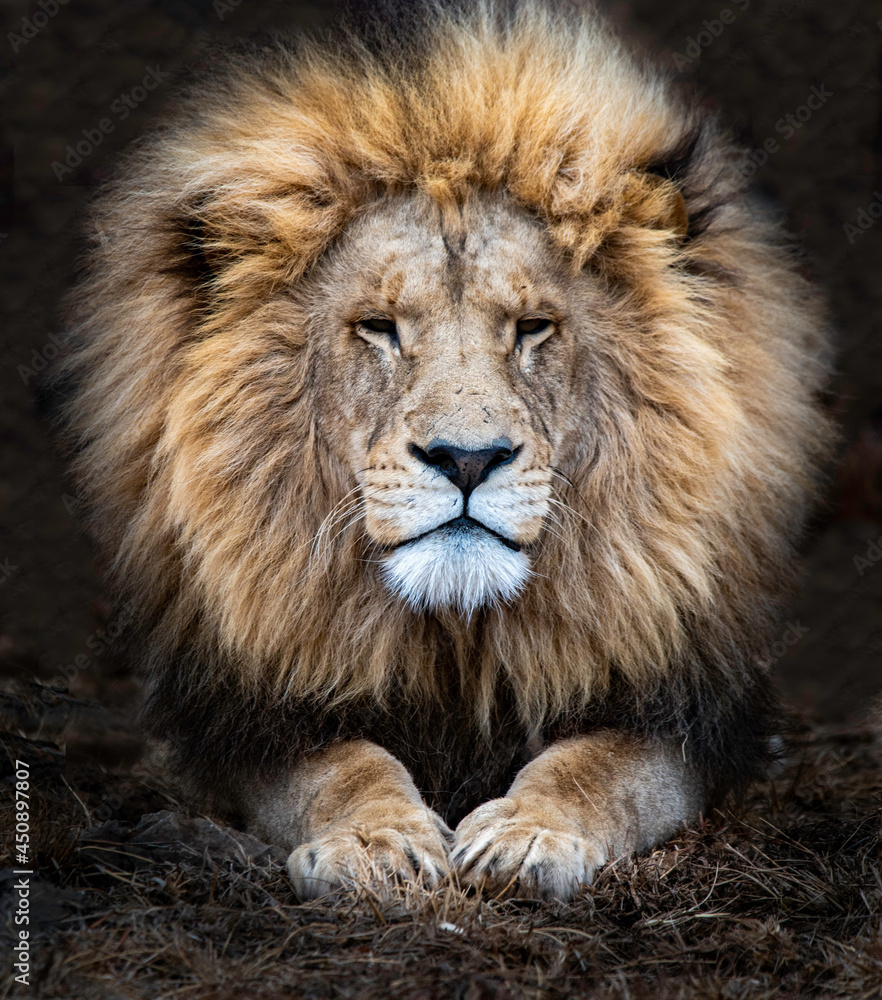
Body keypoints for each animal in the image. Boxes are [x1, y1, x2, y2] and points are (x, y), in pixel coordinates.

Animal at [56, 0, 832, 901]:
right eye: (379, 327)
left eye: (533, 328)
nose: (467, 459)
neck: (458, 641)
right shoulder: (247, 720)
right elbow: (340, 769)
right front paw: (376, 842)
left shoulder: (691, 716)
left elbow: (600, 768)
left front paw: (528, 835)